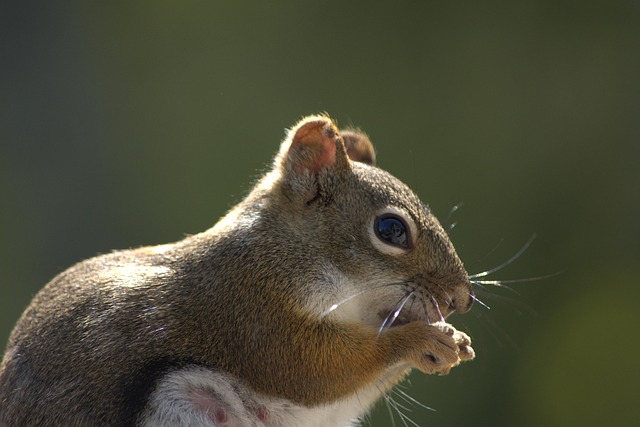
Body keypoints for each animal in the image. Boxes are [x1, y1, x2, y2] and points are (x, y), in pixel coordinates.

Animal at [0, 115, 475, 426]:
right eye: (390, 229)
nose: (461, 300)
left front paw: (454, 340)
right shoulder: (247, 312)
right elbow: (315, 369)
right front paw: (423, 340)